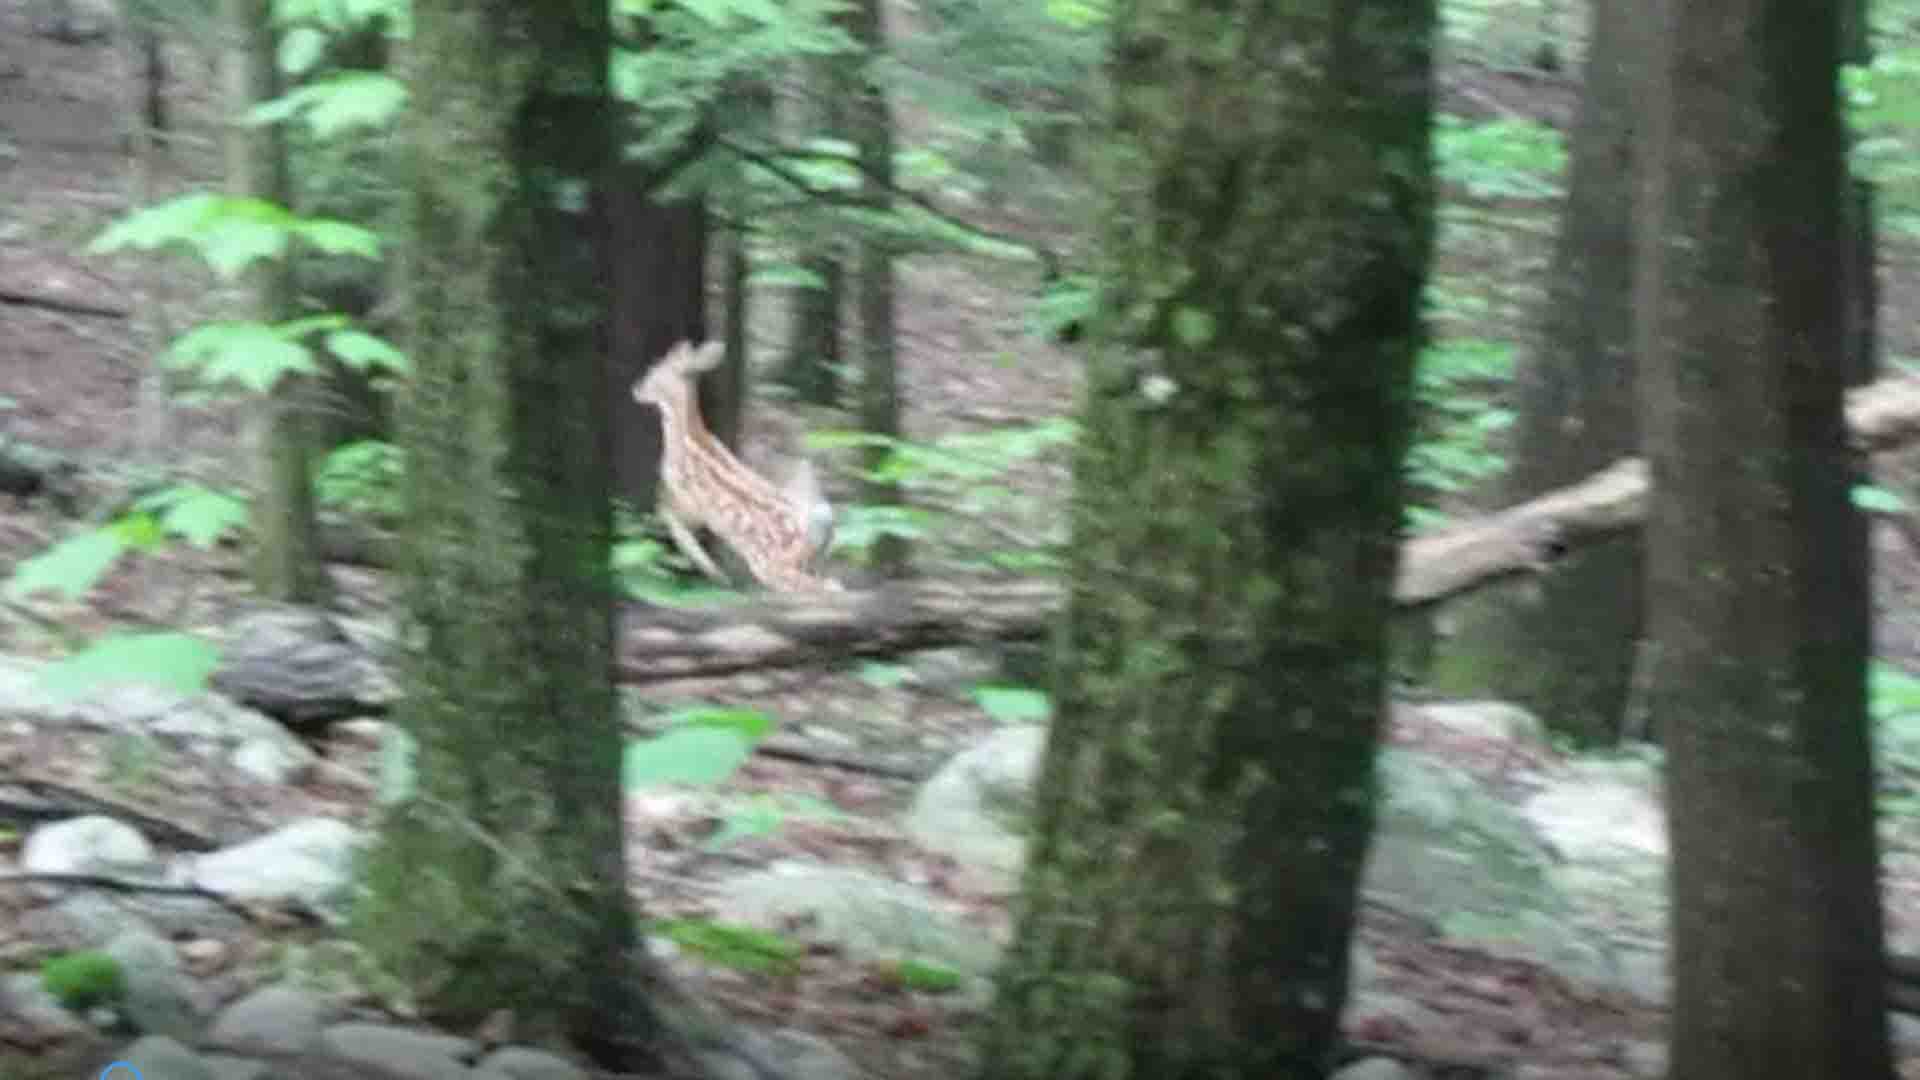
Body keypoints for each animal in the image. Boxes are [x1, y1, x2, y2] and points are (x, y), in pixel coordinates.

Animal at [632, 341, 842, 594]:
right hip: (805, 558)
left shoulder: (690, 502)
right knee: (828, 581)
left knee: (816, 586)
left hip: (769, 563)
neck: (685, 438)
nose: (635, 389)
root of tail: (820, 533)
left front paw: (713, 571)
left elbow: (670, 519)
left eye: (653, 371)